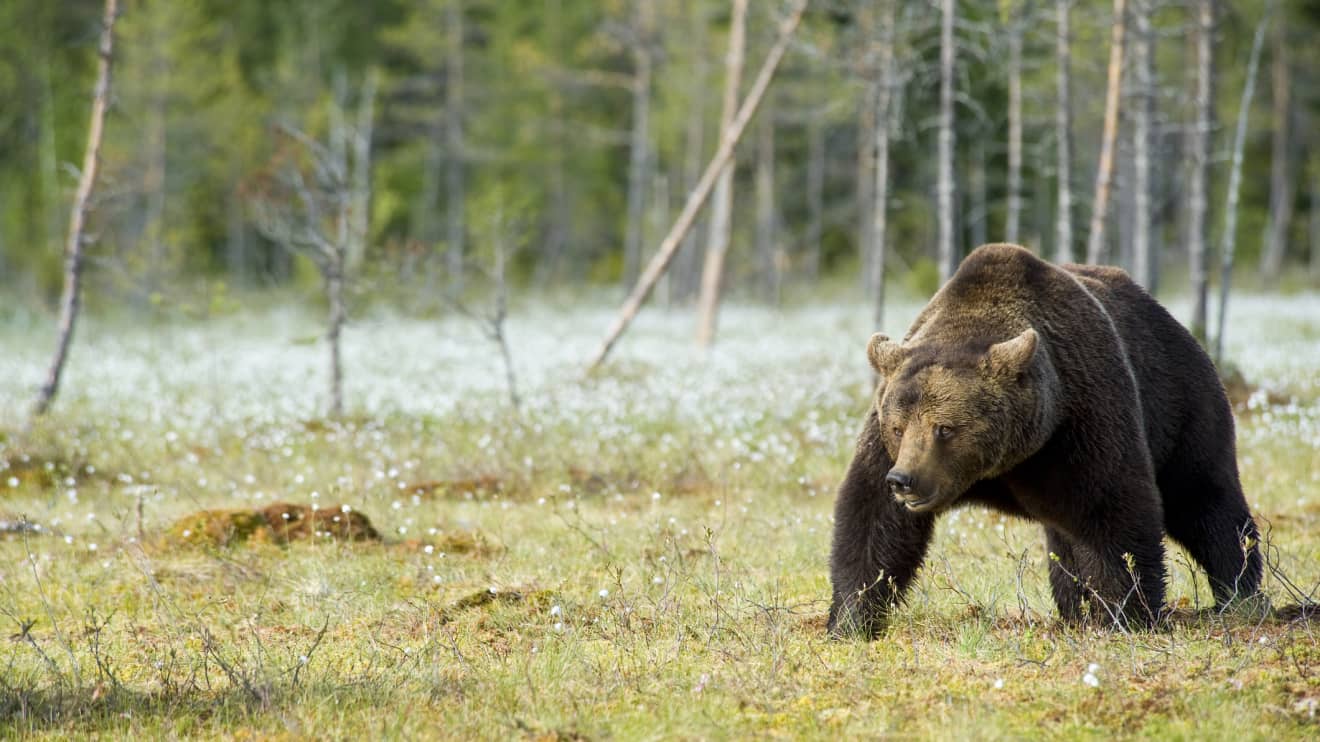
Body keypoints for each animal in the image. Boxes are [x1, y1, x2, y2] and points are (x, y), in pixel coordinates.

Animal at [827, 243, 1262, 639]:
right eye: (898, 427)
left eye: (945, 428)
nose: (904, 480)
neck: (1004, 461)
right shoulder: (886, 450)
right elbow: (873, 520)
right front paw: (850, 619)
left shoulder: (1080, 421)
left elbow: (1113, 513)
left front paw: (1128, 615)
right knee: (1064, 537)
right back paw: (1074, 608)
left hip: (1181, 405)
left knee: (1206, 503)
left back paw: (1241, 593)